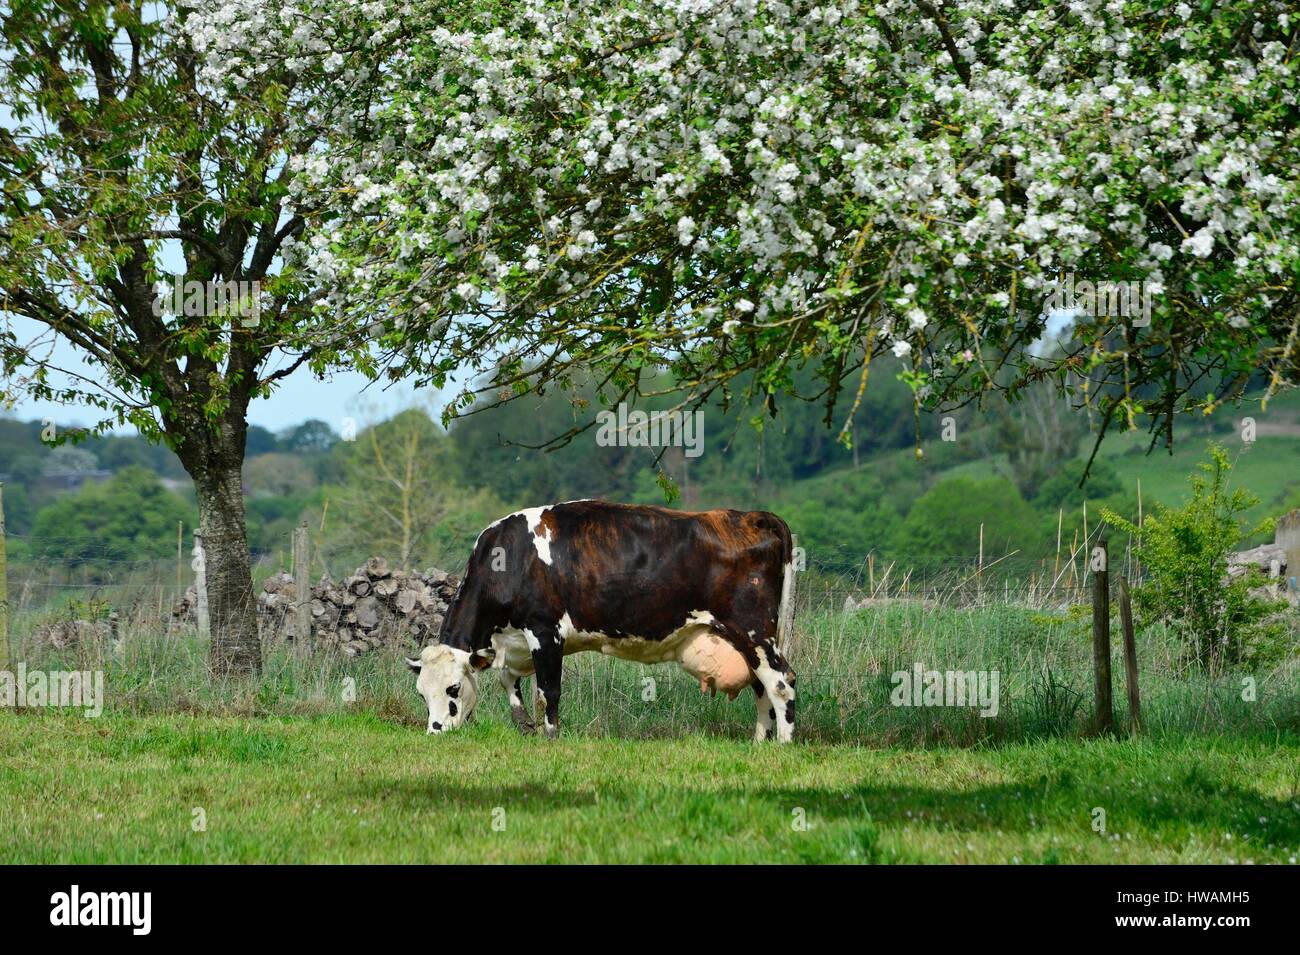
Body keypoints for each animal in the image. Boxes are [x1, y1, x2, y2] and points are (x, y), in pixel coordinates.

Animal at [406, 500, 798, 741]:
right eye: (421, 693)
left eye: (453, 689)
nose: (435, 731)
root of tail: (752, 517)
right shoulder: (516, 641)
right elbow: (509, 681)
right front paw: (524, 725)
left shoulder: (545, 631)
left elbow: (549, 690)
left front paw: (551, 735)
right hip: (748, 640)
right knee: (761, 685)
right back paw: (759, 741)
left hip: (753, 631)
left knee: (781, 682)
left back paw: (782, 743)